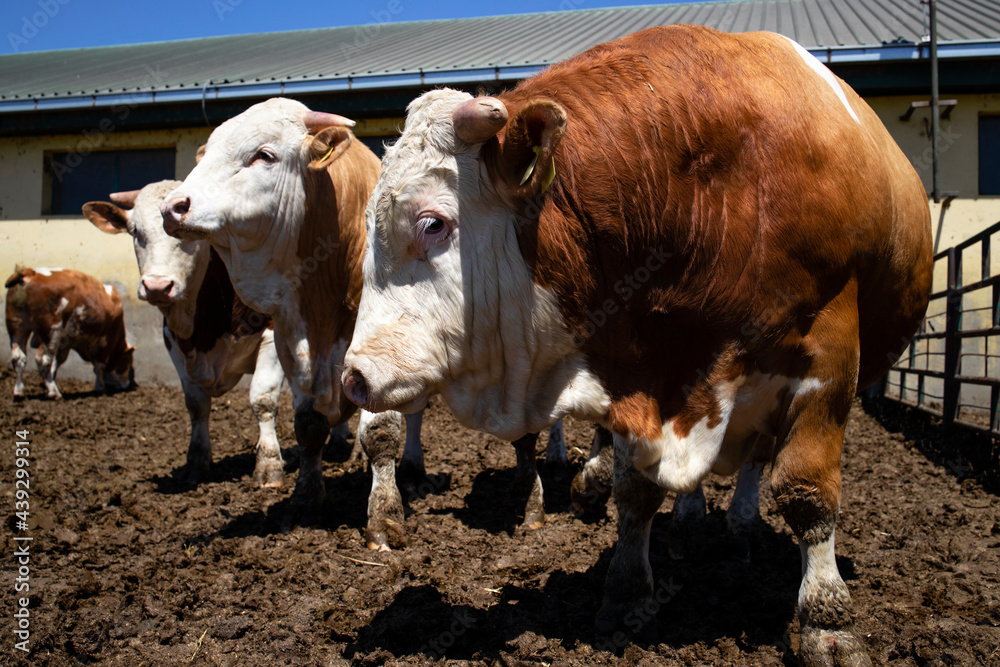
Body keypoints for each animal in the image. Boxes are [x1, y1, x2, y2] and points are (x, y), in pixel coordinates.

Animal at [6, 267, 135, 399]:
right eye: (127, 360)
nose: (127, 385)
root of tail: (29, 273)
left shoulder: (64, 343)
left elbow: (57, 362)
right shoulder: (106, 341)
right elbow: (99, 366)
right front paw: (100, 387)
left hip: (17, 328)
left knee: (18, 359)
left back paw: (19, 391)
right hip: (51, 331)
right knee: (42, 360)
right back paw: (54, 392)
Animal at [82, 180, 288, 487]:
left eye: (195, 234)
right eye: (135, 231)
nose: (157, 286)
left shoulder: (272, 336)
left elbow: (262, 400)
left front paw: (269, 466)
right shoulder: (174, 344)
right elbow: (196, 405)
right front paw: (196, 465)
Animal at [340, 26, 933, 666]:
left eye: (432, 224)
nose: (355, 376)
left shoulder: (828, 357)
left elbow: (807, 493)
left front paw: (828, 622)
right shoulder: (637, 374)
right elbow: (634, 490)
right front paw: (625, 593)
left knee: (757, 461)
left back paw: (743, 525)